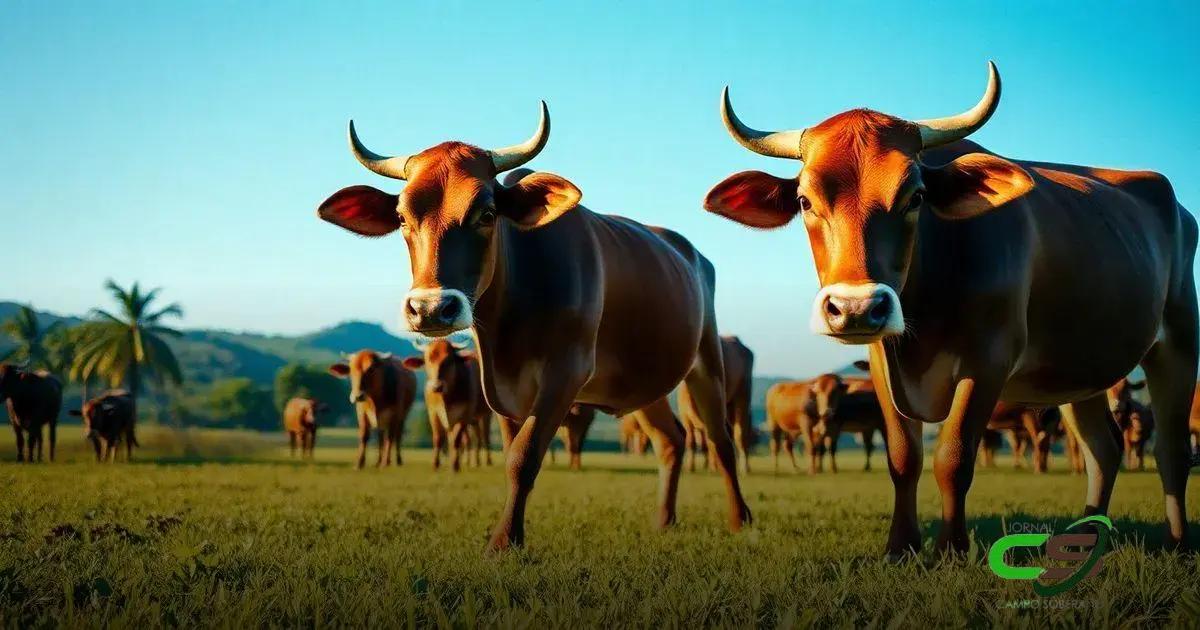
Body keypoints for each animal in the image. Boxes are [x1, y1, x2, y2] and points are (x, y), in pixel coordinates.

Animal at [402, 337, 492, 471]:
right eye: (428, 360)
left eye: (449, 360)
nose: (436, 386)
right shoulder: (433, 413)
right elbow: (438, 438)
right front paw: (436, 464)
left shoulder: (464, 415)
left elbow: (456, 440)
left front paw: (455, 465)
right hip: (473, 421)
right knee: (472, 439)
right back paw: (472, 461)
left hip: (485, 414)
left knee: (484, 437)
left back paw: (485, 461)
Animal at [678, 335, 756, 473]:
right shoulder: (684, 416)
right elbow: (691, 441)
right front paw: (690, 467)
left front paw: (715, 466)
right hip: (729, 406)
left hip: (743, 395)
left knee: (740, 434)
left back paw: (744, 467)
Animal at [706, 62, 1197, 554]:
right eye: (805, 200)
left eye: (916, 196)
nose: (856, 308)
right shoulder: (882, 364)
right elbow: (903, 458)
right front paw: (901, 546)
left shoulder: (989, 360)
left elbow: (953, 457)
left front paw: (951, 548)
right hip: (1077, 370)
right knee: (1104, 449)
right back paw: (1085, 538)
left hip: (1177, 339)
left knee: (1171, 448)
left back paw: (1176, 540)